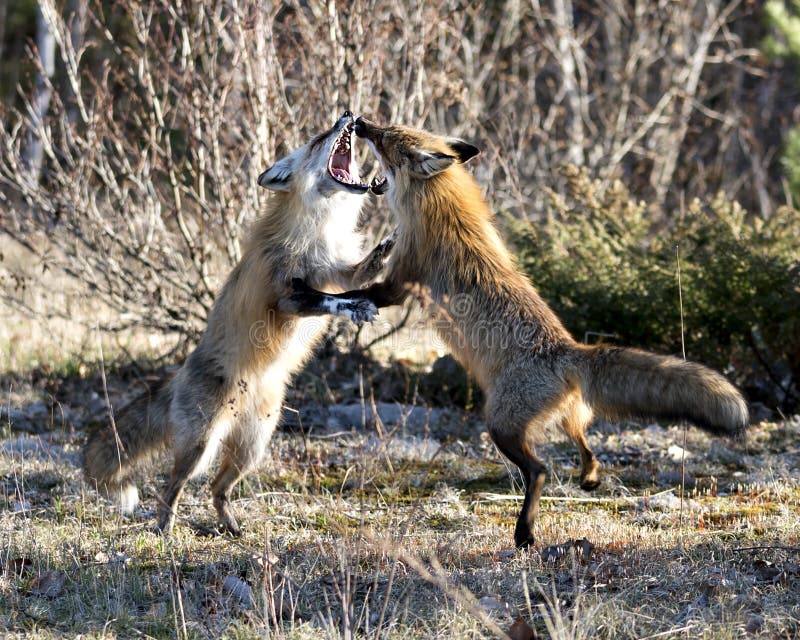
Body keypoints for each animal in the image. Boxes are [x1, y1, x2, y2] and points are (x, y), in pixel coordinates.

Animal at [84, 111, 393, 536]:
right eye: (318, 139)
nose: (346, 113)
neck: (318, 231)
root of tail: (178, 373)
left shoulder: (336, 271)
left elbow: (356, 273)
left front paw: (385, 251)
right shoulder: (286, 297)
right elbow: (329, 300)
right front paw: (357, 307)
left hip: (253, 446)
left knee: (218, 489)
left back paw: (231, 527)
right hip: (200, 446)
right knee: (171, 488)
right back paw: (164, 529)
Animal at [287, 116, 750, 549]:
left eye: (385, 138)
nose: (360, 121)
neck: (442, 205)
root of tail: (568, 350)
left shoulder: (401, 282)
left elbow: (355, 292)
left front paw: (313, 294)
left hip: (500, 423)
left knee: (540, 470)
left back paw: (524, 532)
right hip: (558, 417)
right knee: (584, 441)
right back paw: (589, 478)